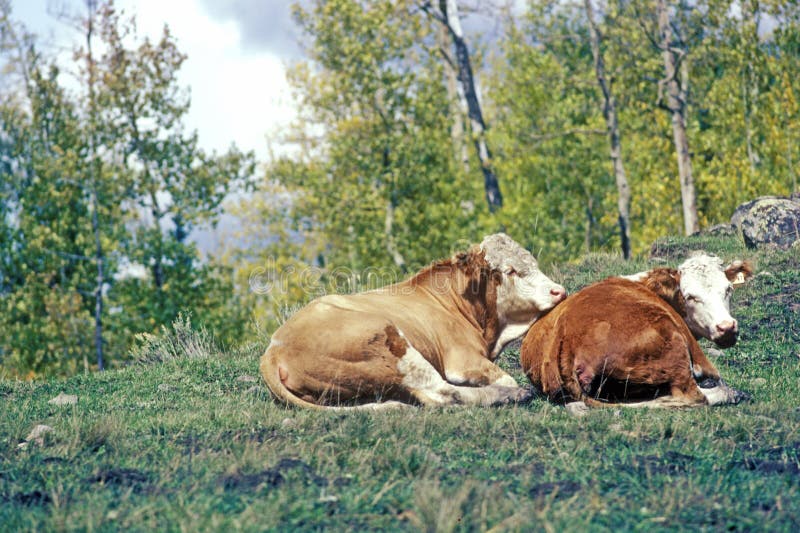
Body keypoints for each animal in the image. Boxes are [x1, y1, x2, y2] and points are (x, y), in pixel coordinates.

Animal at [260, 233, 567, 410]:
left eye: (534, 262)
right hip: (392, 345)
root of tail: (274, 349)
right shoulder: (463, 360)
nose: (559, 290)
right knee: (441, 393)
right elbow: (505, 376)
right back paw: (511, 395)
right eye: (510, 270)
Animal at [520, 253, 753, 408]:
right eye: (691, 296)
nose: (726, 327)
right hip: (672, 345)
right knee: (694, 395)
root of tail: (564, 338)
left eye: (728, 289)